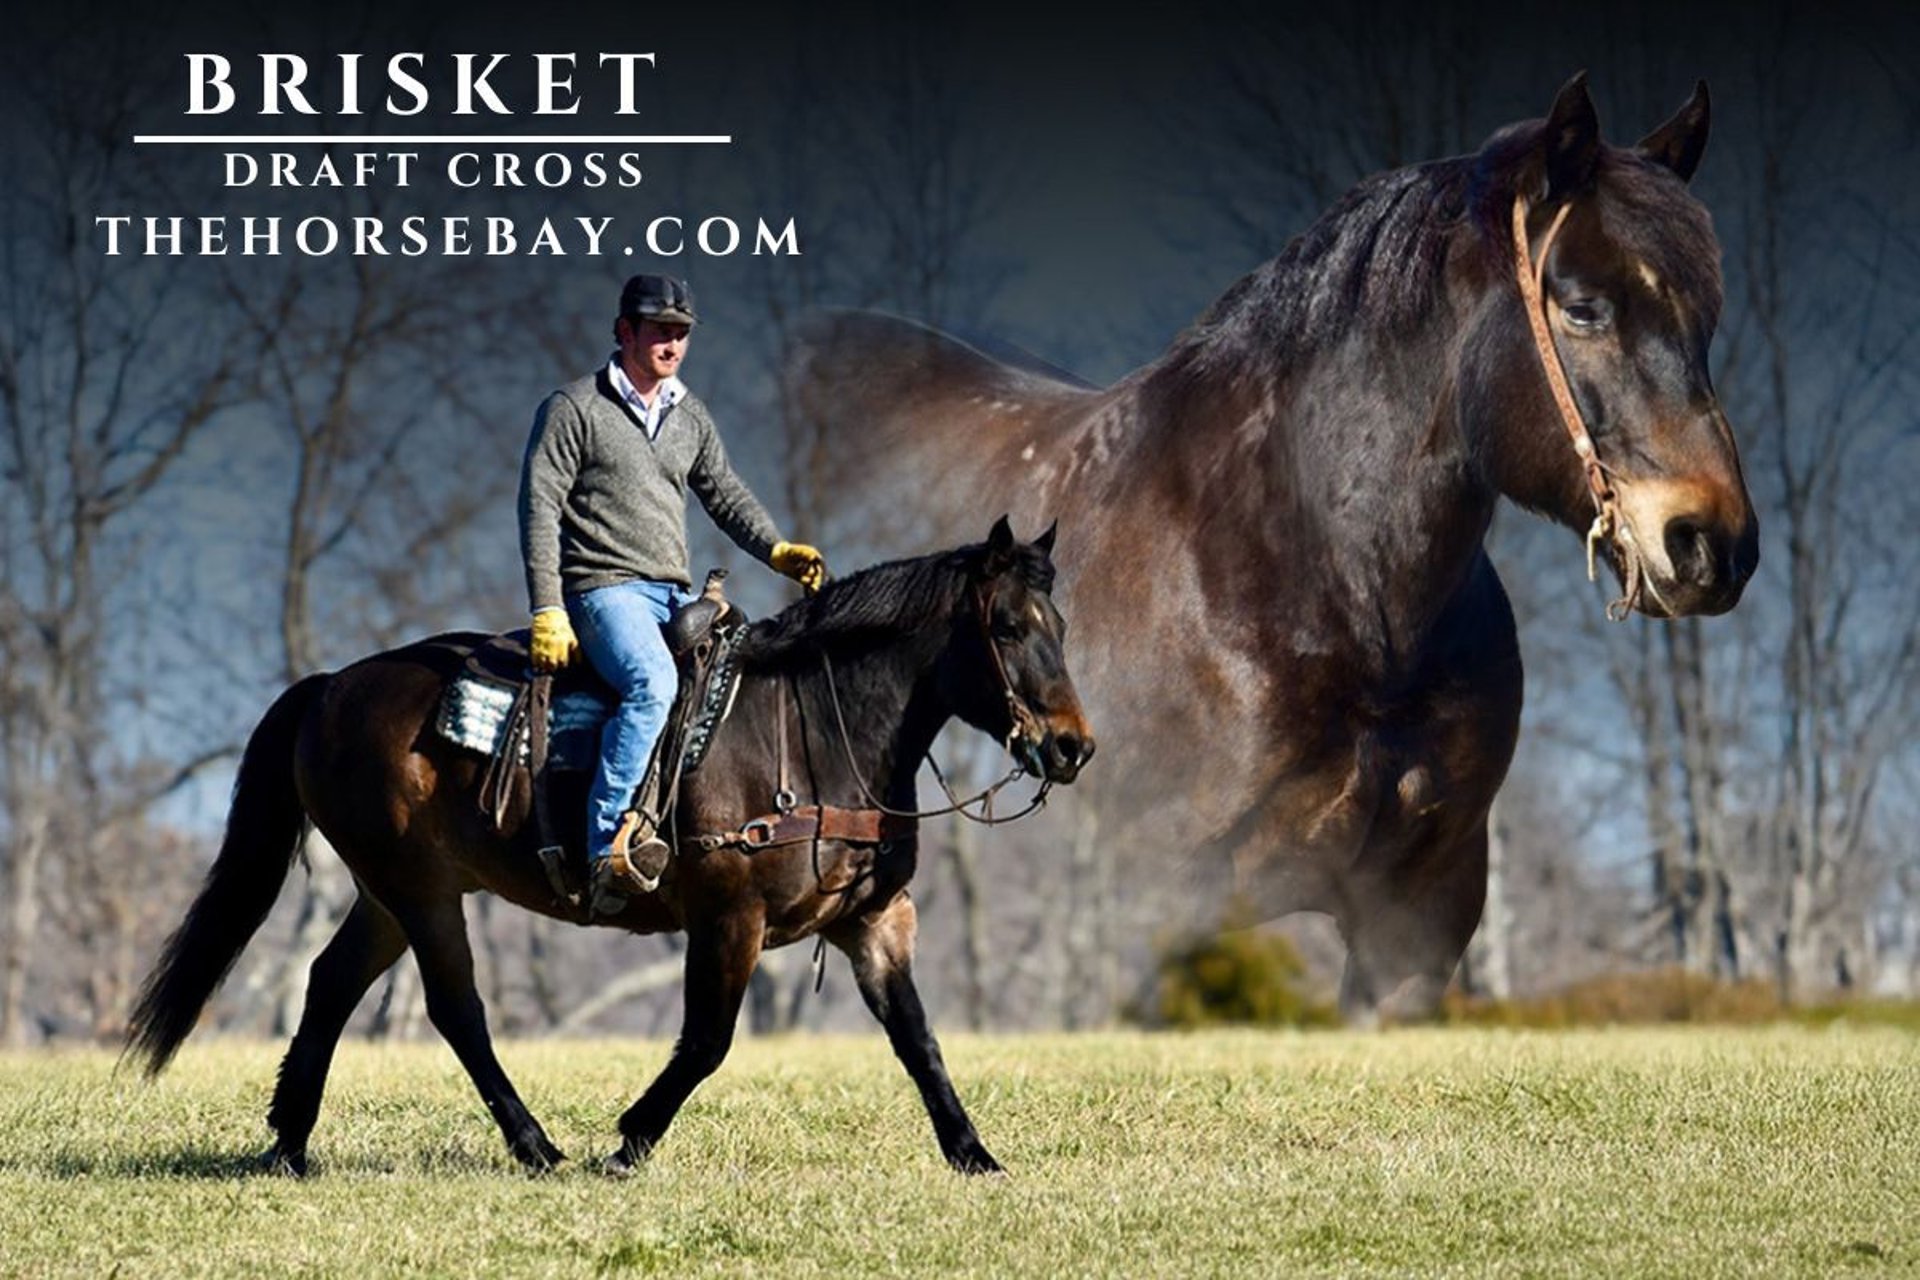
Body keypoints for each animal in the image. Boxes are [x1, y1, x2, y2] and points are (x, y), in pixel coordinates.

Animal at [125, 517, 1093, 1176]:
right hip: (421, 892)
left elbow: (918, 1040)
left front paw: (974, 1155)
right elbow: (706, 1041)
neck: (815, 730)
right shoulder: (729, 919)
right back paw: (536, 1146)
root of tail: (330, 688)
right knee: (457, 1010)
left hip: (385, 895)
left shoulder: (876, 923)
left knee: (330, 984)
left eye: (1063, 626)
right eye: (1007, 628)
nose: (1073, 747)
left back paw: (290, 1143)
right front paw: (628, 1143)